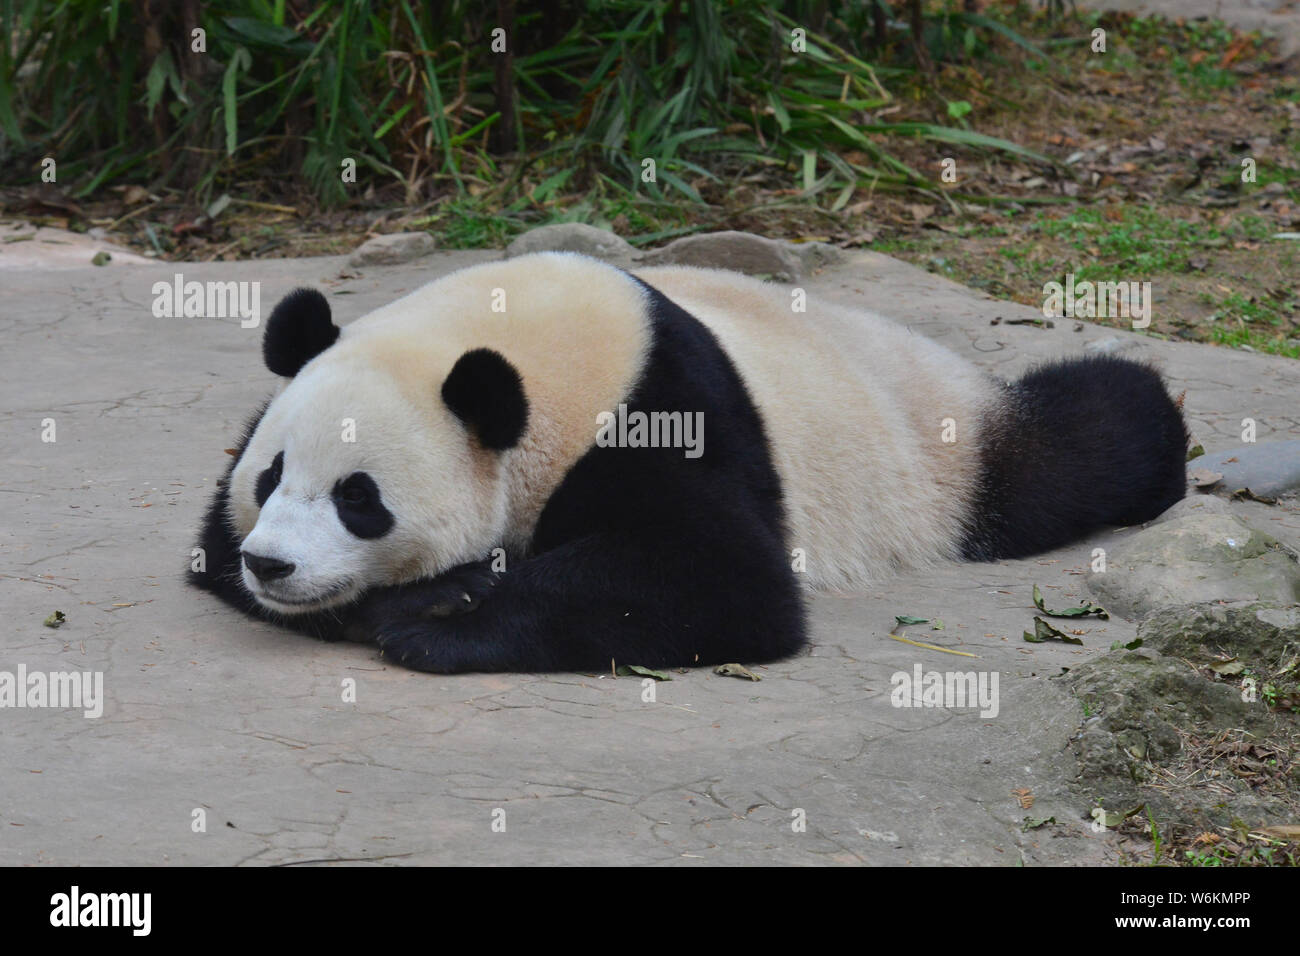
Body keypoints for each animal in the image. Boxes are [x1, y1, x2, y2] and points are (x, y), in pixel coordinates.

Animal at [191, 251, 1187, 673]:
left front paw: (435, 614)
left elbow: (718, 582)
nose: (271, 564)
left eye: (359, 498)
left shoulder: (662, 409)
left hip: (937, 444)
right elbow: (206, 543)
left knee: (1077, 444)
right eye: (270, 477)